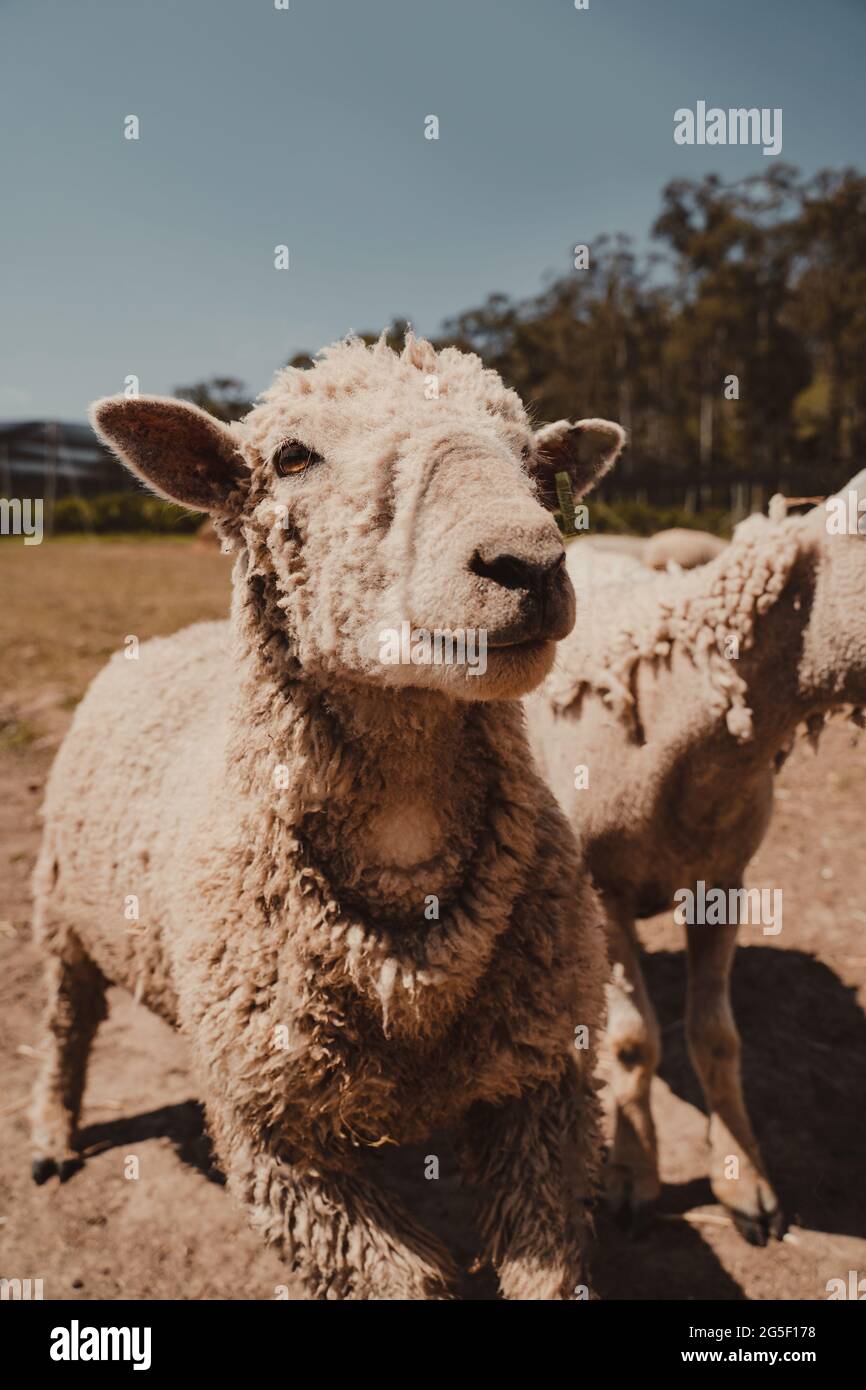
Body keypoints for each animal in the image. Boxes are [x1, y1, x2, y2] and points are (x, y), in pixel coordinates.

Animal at [30, 333, 626, 1300]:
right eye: (291, 457)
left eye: (537, 464)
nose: (529, 563)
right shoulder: (274, 1141)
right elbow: (410, 1279)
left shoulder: (546, 1088)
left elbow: (544, 1261)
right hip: (58, 911)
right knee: (63, 1024)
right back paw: (51, 1136)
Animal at [527, 474, 866, 1245]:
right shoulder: (604, 888)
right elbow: (633, 1042)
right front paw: (632, 1173)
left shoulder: (724, 881)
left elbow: (717, 1038)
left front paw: (744, 1182)